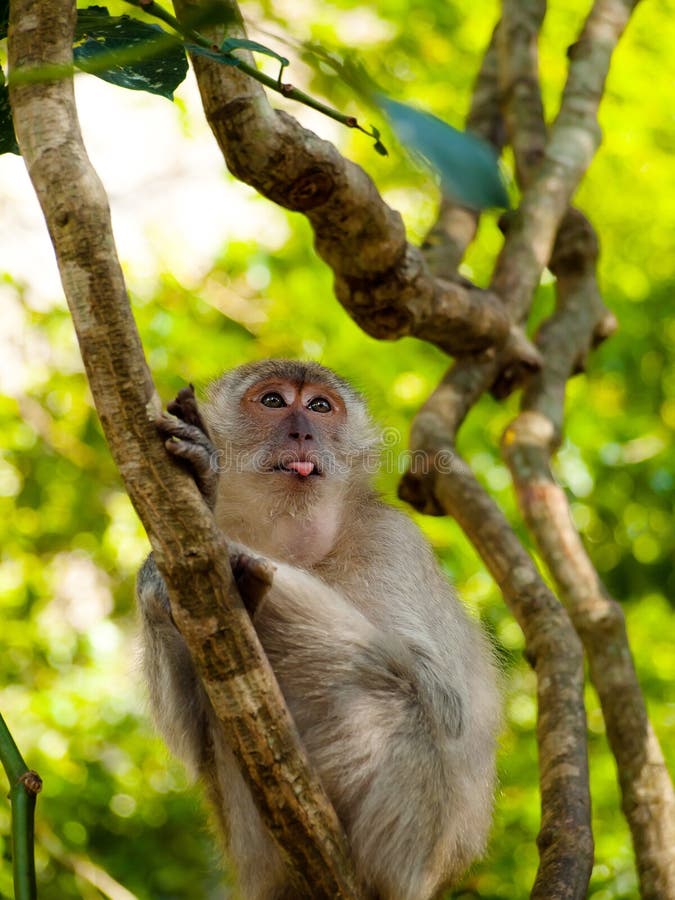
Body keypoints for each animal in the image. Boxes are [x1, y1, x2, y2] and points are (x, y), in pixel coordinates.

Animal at [137, 359, 500, 900]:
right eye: (273, 401)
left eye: (319, 406)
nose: (303, 430)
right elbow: (195, 738)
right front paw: (165, 568)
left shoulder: (393, 540)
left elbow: (441, 696)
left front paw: (209, 501)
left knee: (400, 698)